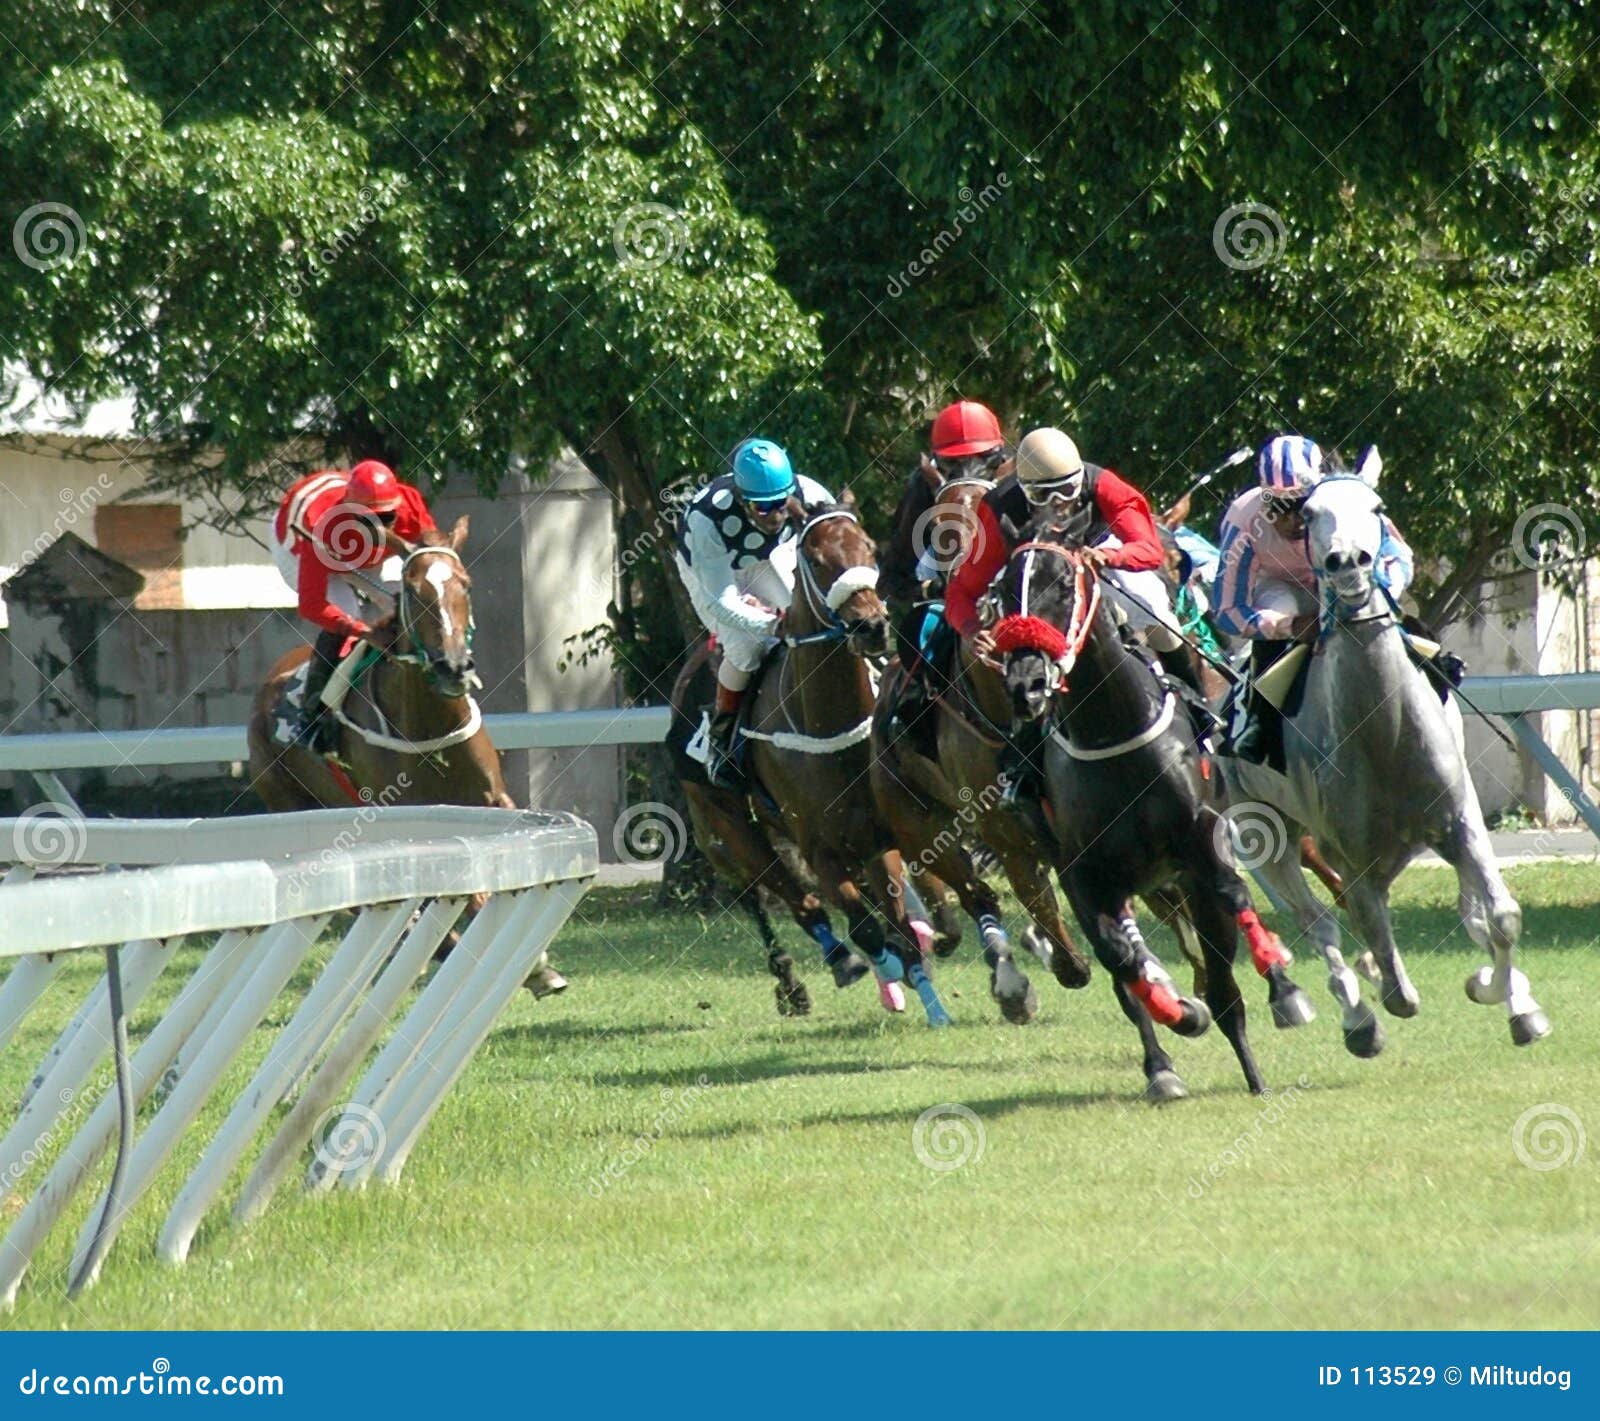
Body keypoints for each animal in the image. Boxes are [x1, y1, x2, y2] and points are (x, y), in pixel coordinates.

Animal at [671, 499, 952, 1026]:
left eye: (870, 548)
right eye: (817, 561)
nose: (871, 626)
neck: (830, 727)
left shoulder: (879, 837)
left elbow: (899, 921)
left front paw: (927, 991)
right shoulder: (821, 849)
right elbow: (865, 926)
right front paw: (888, 970)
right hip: (726, 827)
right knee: (782, 899)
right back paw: (814, 973)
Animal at [872, 474, 1093, 1024]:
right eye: (940, 529)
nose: (1029, 684)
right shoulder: (1009, 835)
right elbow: (1047, 914)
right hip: (921, 828)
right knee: (978, 895)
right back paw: (1011, 981)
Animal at [995, 509, 1315, 1099]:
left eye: (1061, 583)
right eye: (1005, 591)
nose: (1025, 685)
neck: (1112, 729)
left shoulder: (1202, 843)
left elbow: (1233, 898)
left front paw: (1280, 987)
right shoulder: (1082, 871)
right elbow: (1120, 958)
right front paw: (1180, 1017)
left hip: (1180, 879)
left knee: (1224, 966)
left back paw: (1257, 1055)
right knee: (1135, 969)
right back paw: (1163, 1062)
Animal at [1215, 455, 1547, 1054]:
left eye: (1375, 507)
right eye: (1310, 513)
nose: (1348, 562)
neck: (1385, 731)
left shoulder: (1460, 820)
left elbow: (1499, 917)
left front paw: (1508, 998)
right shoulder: (1350, 854)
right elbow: (1397, 989)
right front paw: (1382, 987)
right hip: (1263, 836)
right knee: (1318, 923)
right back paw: (1356, 1018)